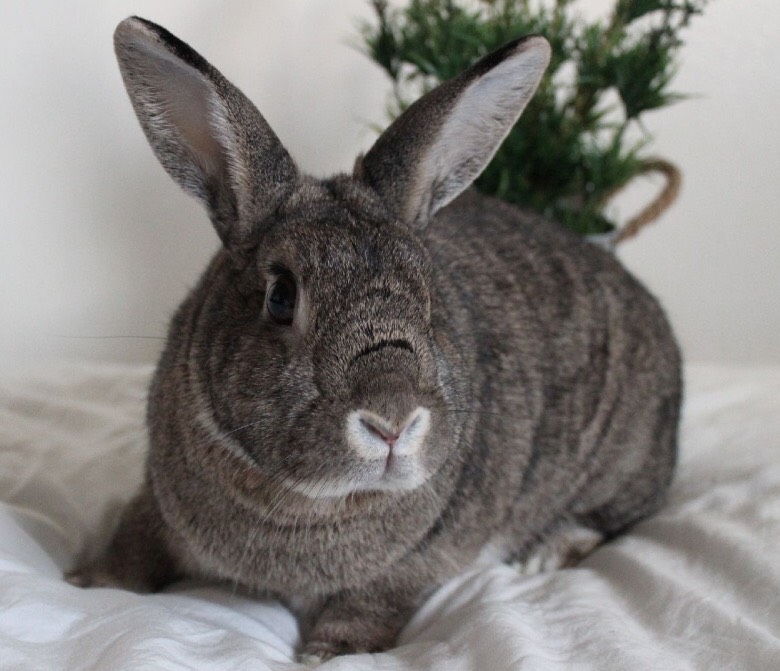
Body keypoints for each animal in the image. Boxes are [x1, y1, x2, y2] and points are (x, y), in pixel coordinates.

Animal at [67, 16, 682, 661]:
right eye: (280, 296)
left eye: (429, 296)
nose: (392, 421)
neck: (307, 499)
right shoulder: (155, 503)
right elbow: (132, 543)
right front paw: (87, 581)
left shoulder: (416, 563)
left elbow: (373, 603)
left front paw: (329, 651)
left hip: (623, 458)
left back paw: (547, 551)